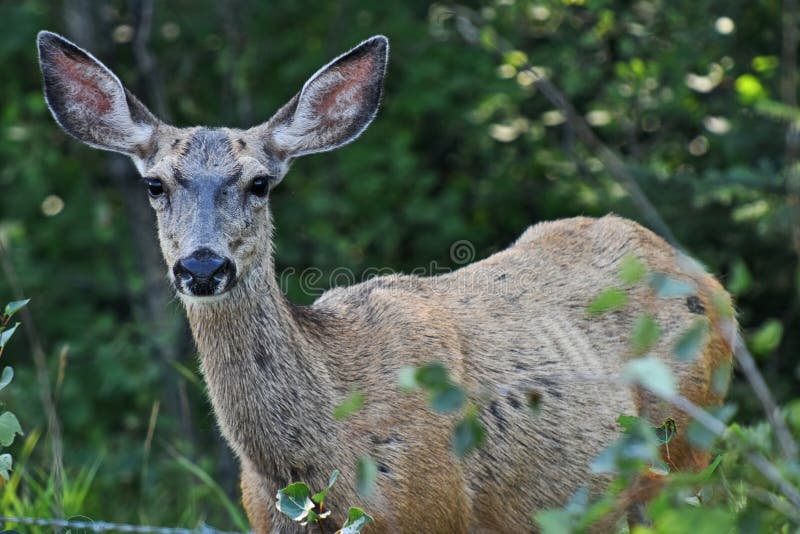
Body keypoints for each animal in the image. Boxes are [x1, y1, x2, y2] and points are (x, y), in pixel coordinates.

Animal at [37, 30, 734, 533]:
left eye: (260, 183)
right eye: (155, 185)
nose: (203, 267)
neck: (315, 468)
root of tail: (705, 278)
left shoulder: (434, 510)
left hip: (690, 449)